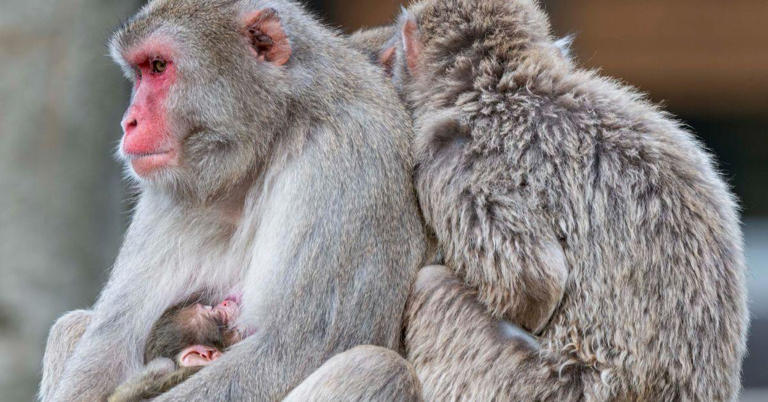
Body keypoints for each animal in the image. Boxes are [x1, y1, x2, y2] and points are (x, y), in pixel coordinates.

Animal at [352, 0, 748, 400]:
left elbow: (534, 286)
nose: (384, 63)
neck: (505, 86)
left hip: (540, 385)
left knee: (432, 287)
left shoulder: (452, 157)